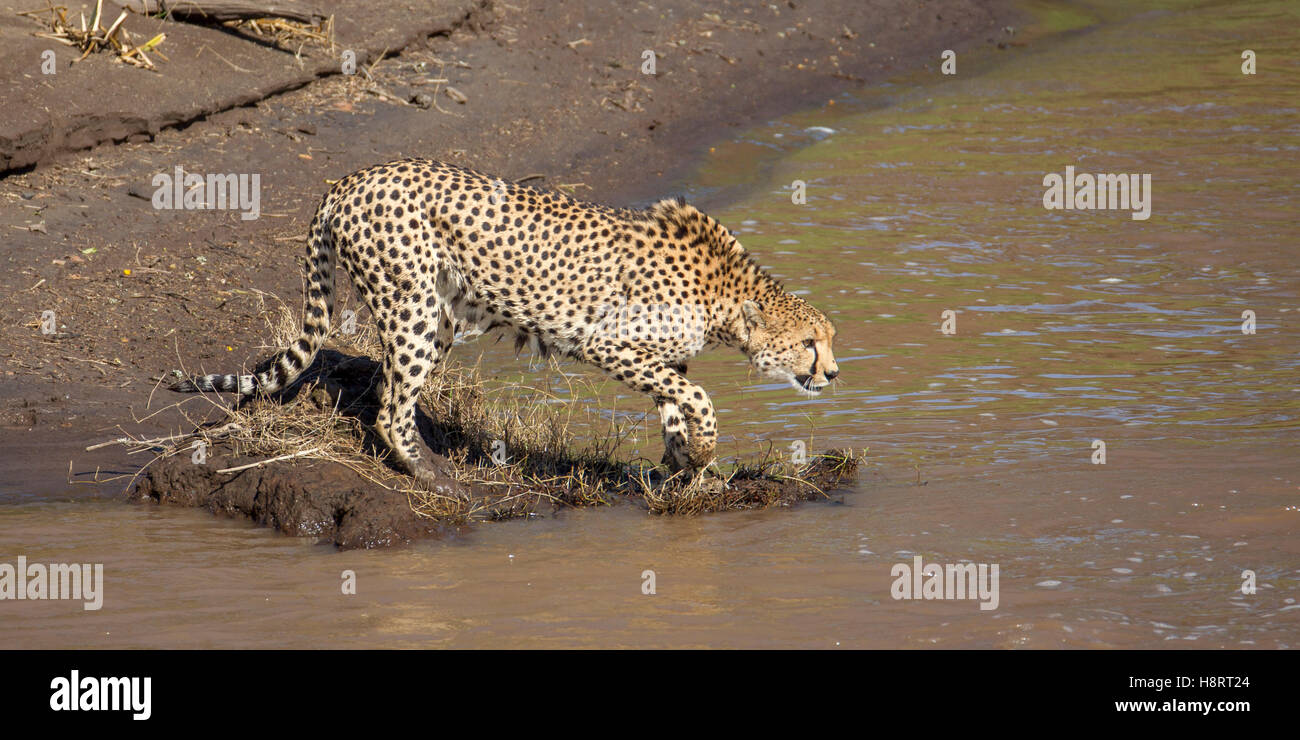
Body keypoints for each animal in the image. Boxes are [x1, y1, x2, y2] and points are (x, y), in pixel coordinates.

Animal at [170, 159, 840, 495]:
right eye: (810, 343)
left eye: (828, 340)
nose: (833, 372)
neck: (727, 292)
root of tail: (350, 180)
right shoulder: (607, 344)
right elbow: (698, 398)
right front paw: (699, 454)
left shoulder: (661, 359)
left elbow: (677, 404)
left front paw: (681, 464)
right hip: (413, 306)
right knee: (391, 404)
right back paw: (434, 476)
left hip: (436, 313)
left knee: (388, 390)